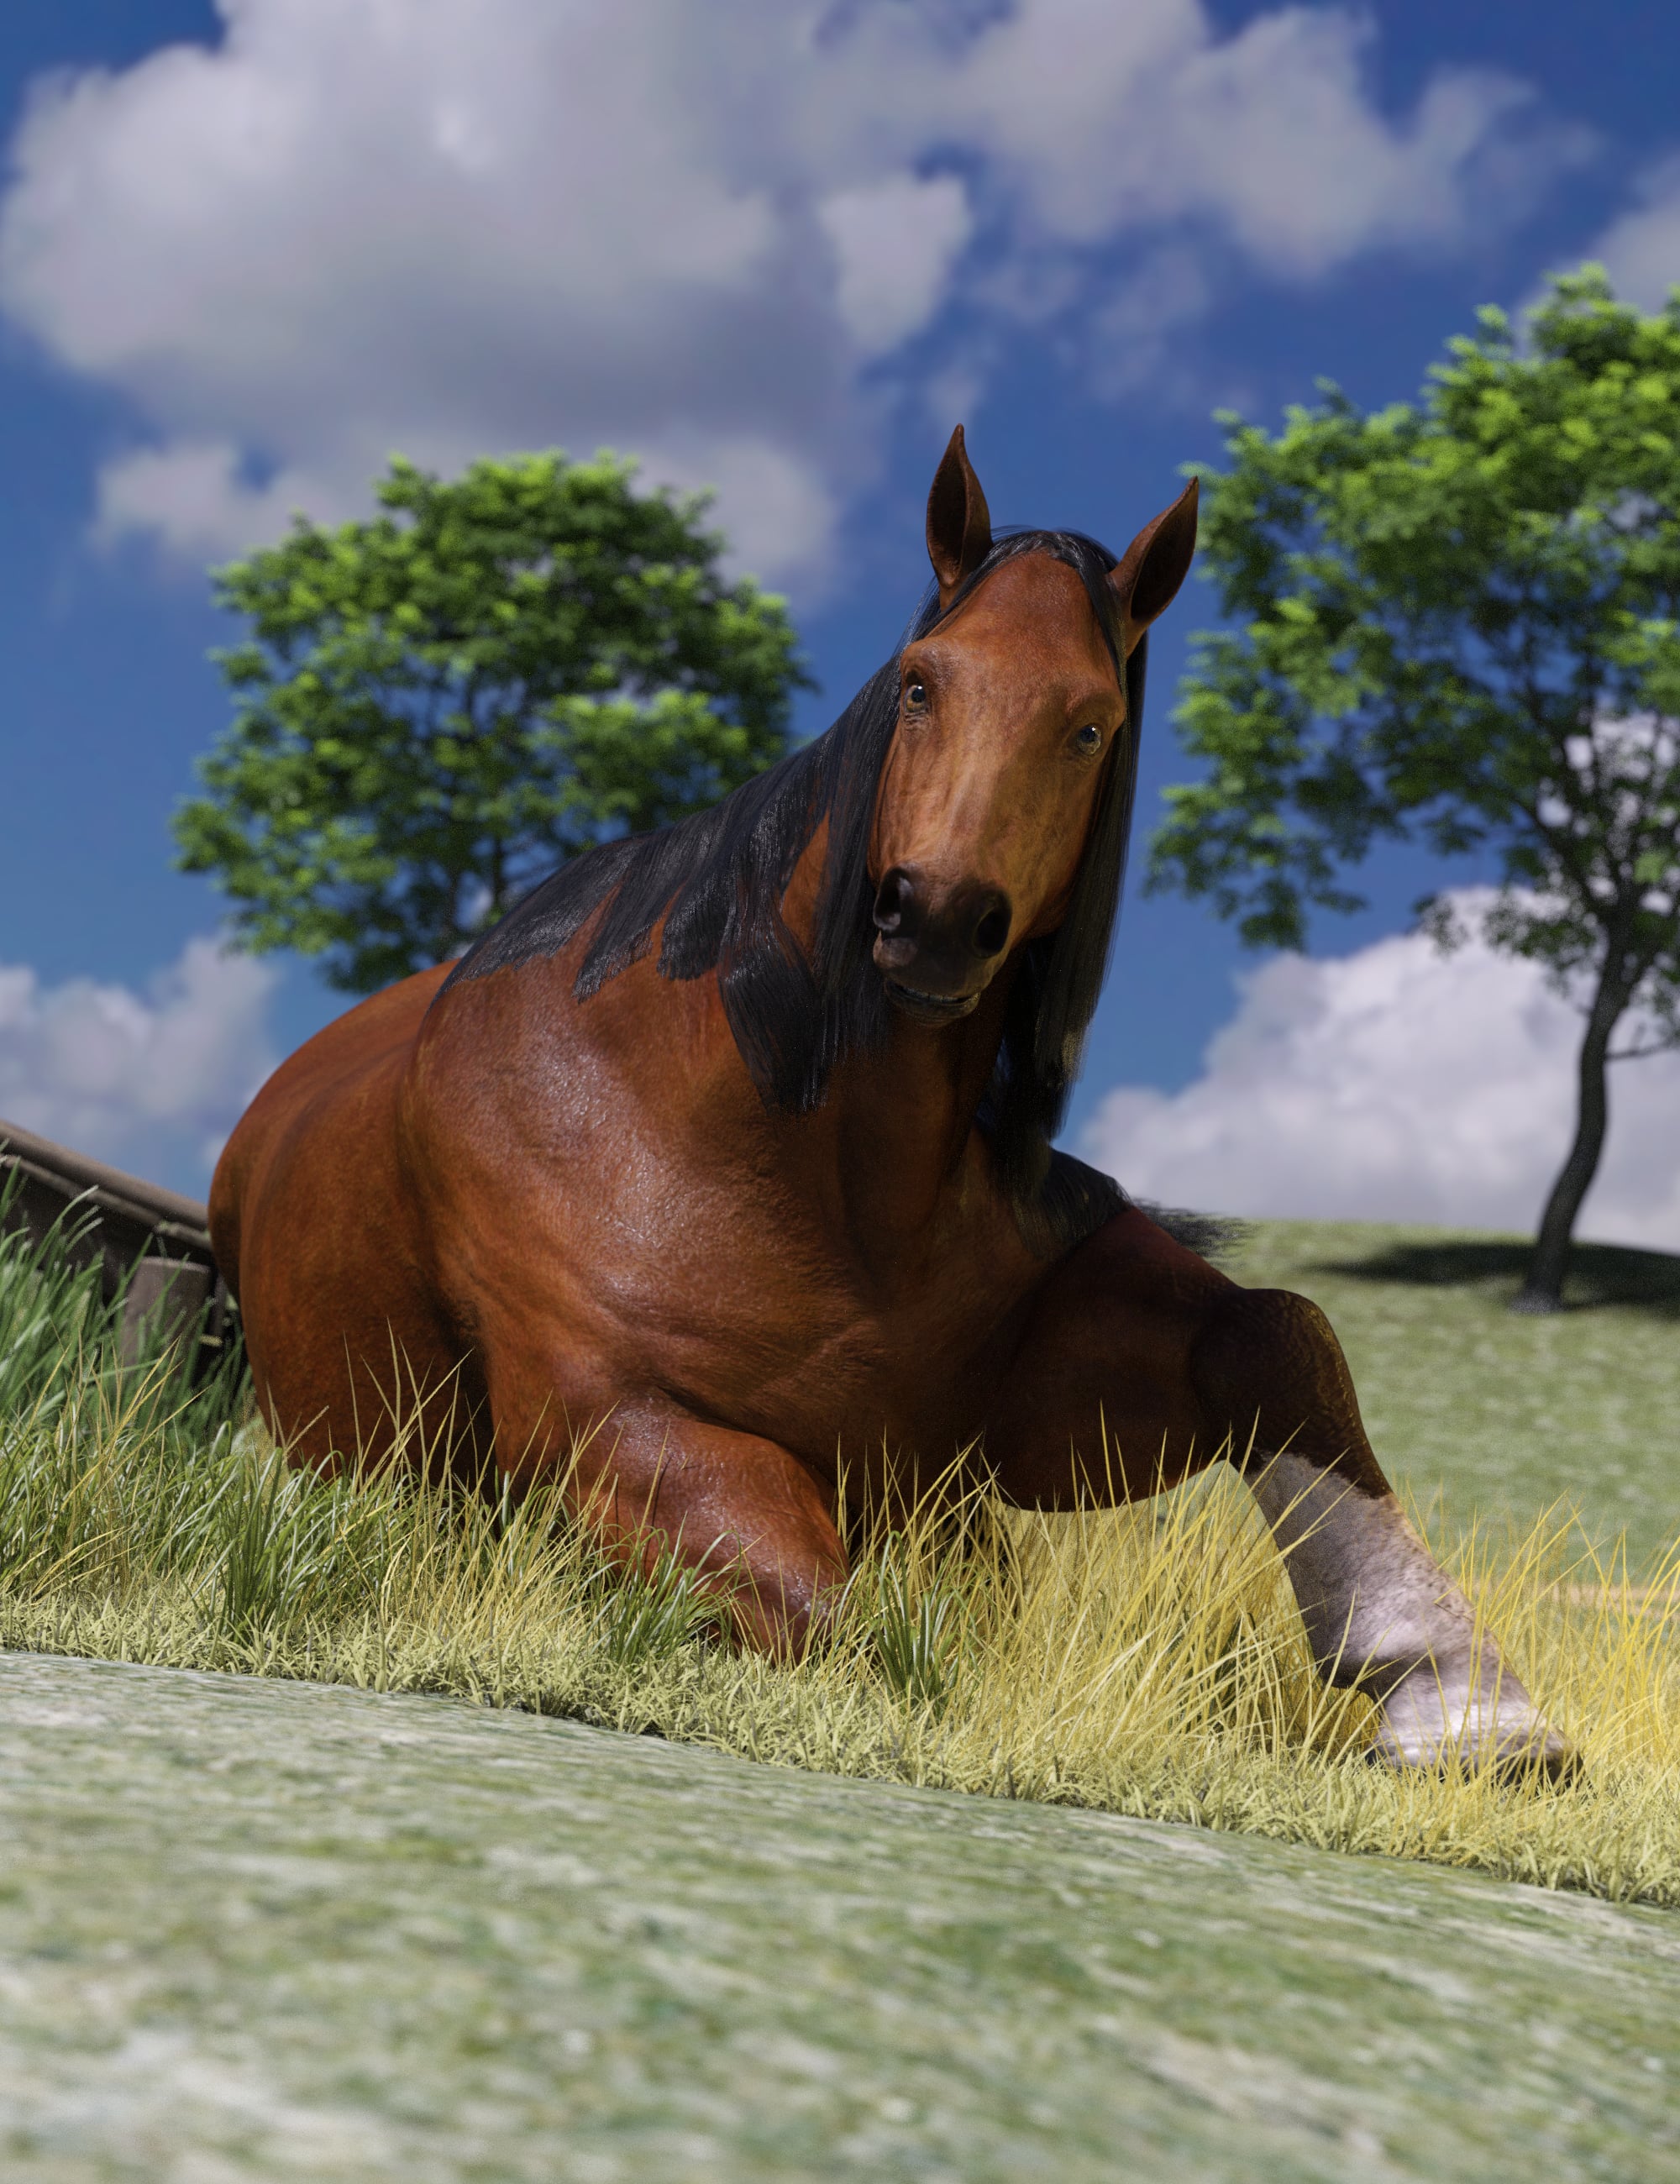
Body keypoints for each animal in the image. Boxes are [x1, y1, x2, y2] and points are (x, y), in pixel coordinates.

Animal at [211, 426, 1570, 1774]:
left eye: (1092, 723)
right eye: (921, 682)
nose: (936, 916)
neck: (803, 1154)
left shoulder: (1009, 1437)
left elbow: (1277, 1335)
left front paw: (1461, 1693)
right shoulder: (606, 1422)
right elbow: (851, 1624)